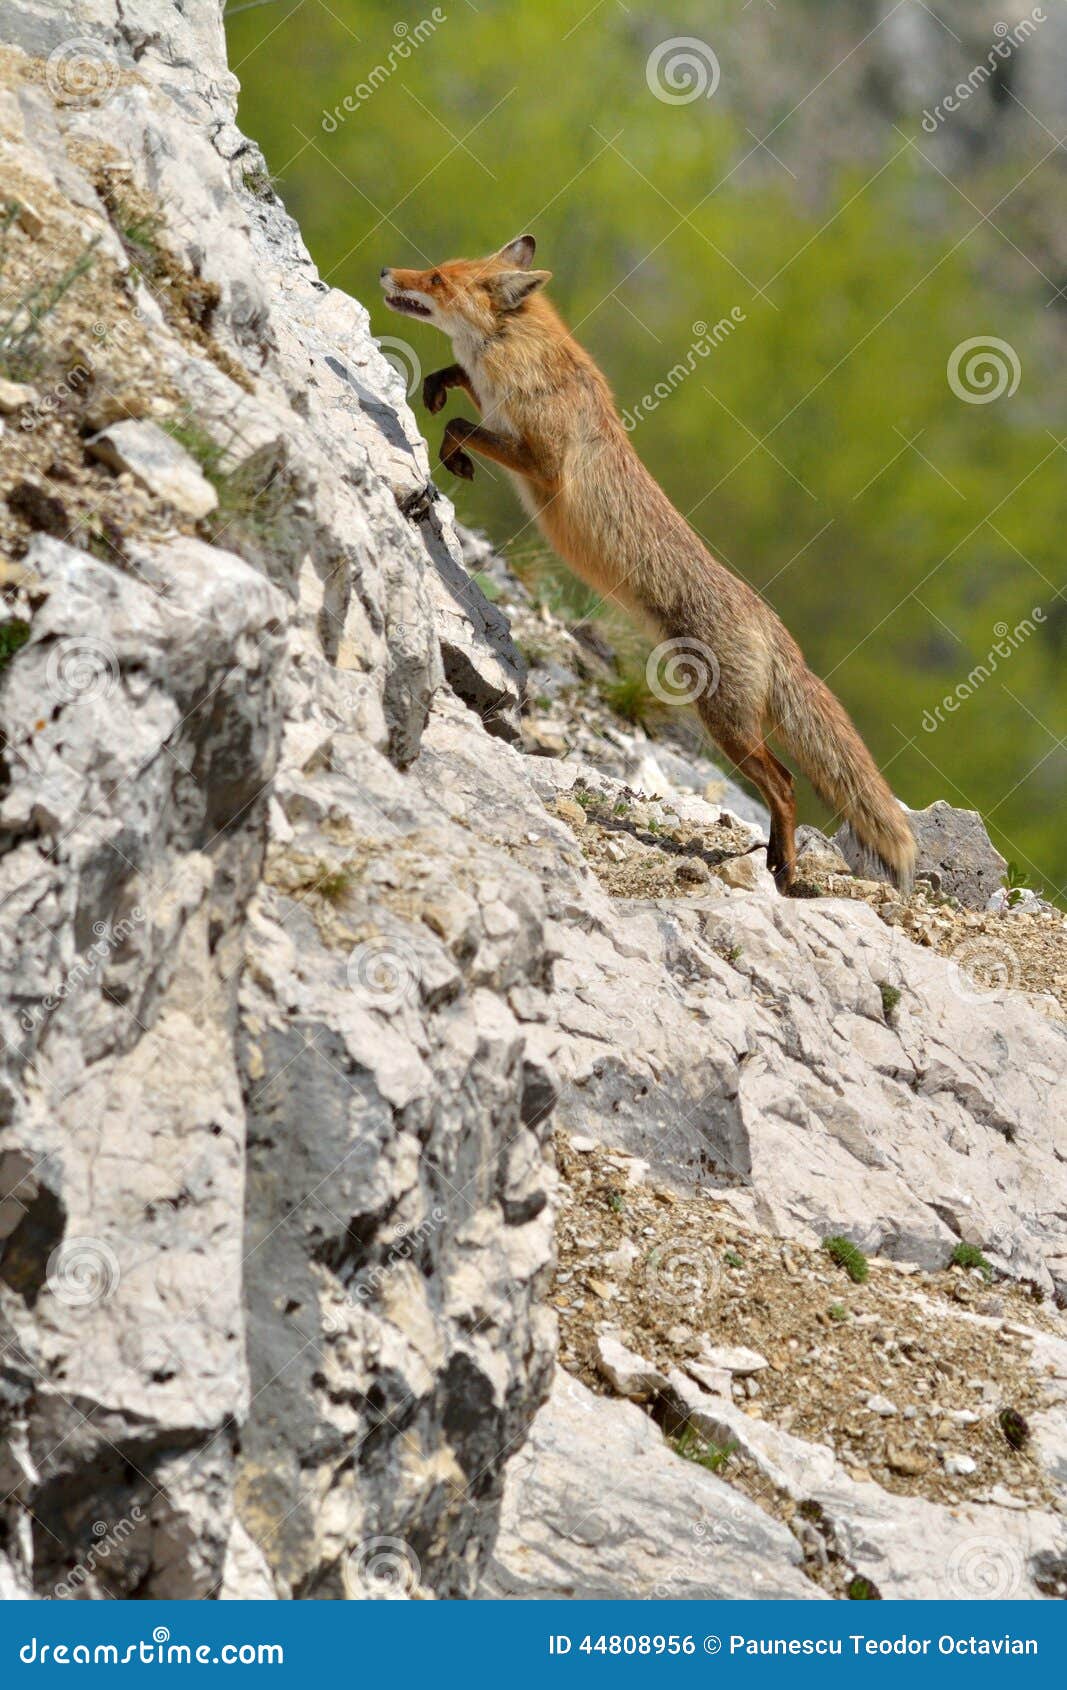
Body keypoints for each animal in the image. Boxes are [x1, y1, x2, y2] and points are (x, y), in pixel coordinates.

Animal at [380, 236, 915, 893]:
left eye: (435, 278)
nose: (386, 270)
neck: (521, 360)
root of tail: (772, 625)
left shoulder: (546, 465)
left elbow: (461, 426)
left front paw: (454, 451)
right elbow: (458, 391)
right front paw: (439, 383)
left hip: (725, 723)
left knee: (786, 784)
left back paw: (784, 871)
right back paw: (773, 859)